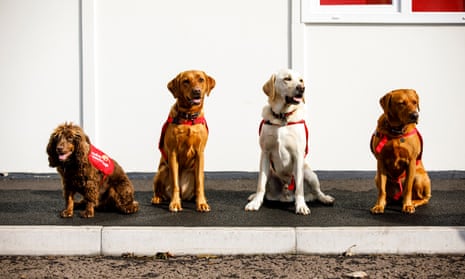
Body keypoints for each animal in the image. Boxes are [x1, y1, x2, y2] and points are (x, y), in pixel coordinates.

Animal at [153, 69, 217, 212]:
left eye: (201, 79)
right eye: (186, 81)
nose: (197, 91)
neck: (189, 117)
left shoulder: (200, 153)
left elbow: (199, 184)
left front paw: (201, 203)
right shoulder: (172, 153)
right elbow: (175, 184)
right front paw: (175, 203)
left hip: (196, 171)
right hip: (162, 171)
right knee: (161, 189)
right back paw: (157, 198)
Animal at [243, 69, 334, 215]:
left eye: (301, 80)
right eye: (287, 79)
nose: (302, 88)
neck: (283, 117)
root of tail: (285, 195)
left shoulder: (298, 155)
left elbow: (300, 188)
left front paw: (301, 206)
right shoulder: (265, 153)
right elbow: (260, 185)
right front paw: (255, 203)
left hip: (309, 174)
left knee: (316, 191)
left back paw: (324, 198)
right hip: (270, 170)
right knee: (265, 189)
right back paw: (255, 196)